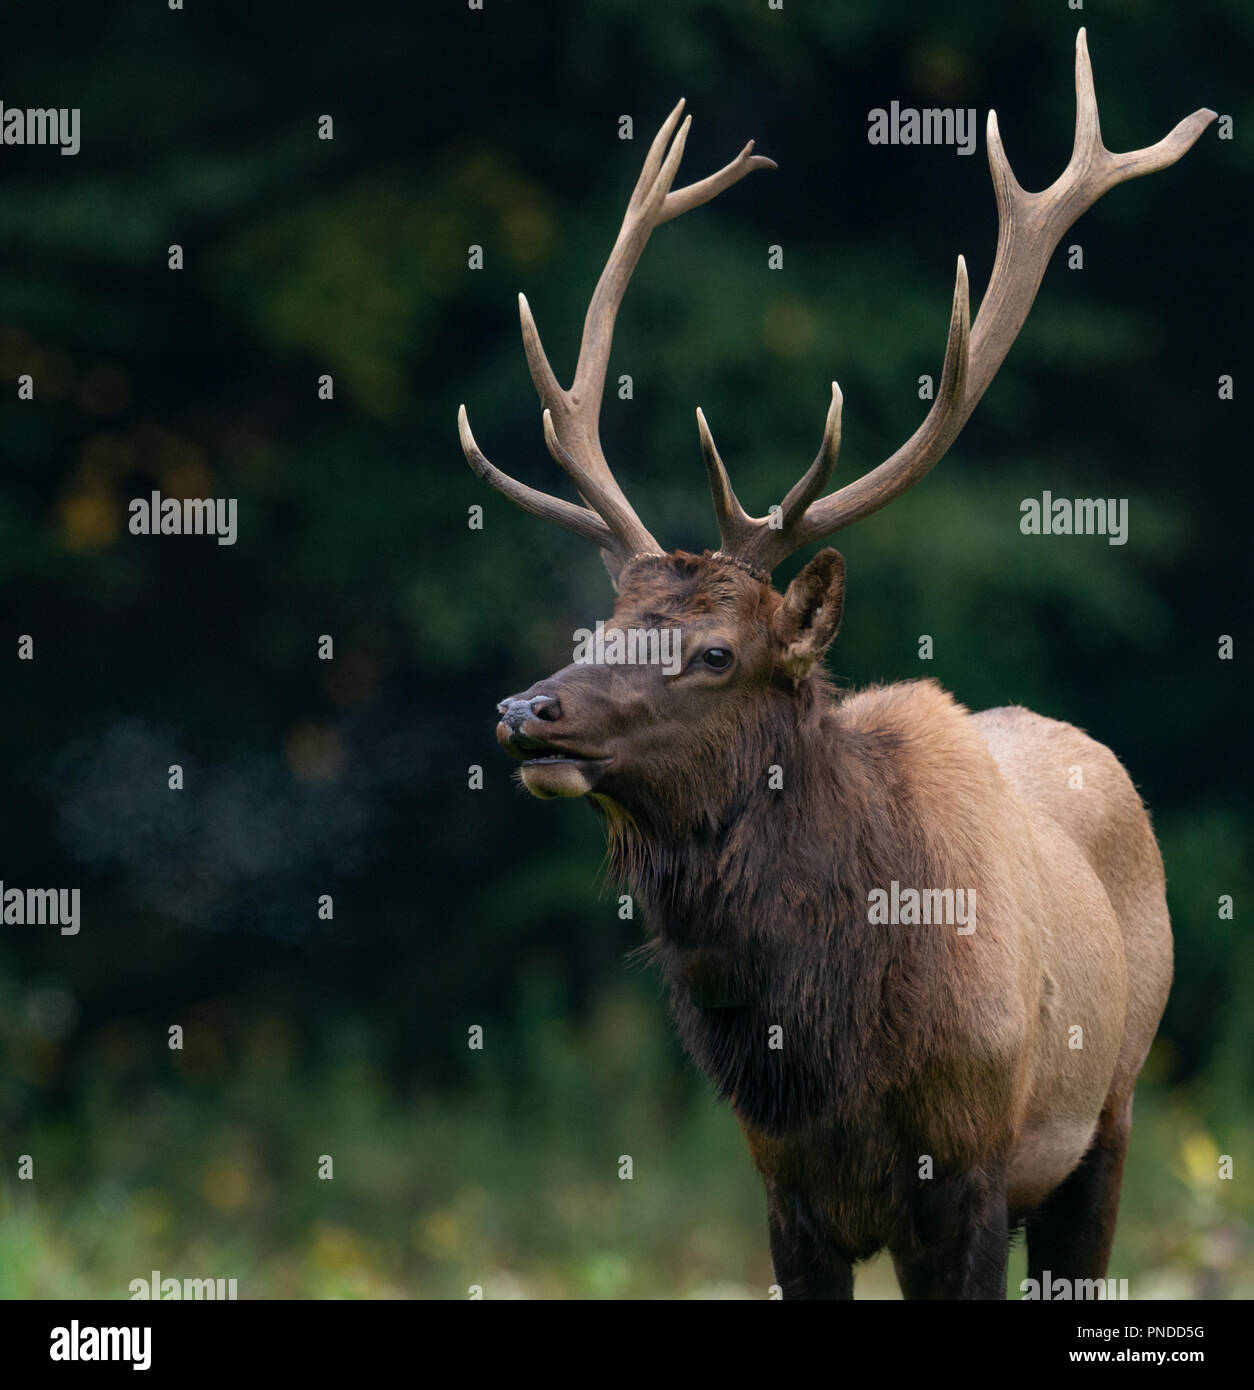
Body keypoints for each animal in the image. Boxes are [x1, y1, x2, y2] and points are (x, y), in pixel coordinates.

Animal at [458, 31, 1213, 1299]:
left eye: (715, 652)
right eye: (601, 632)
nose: (526, 708)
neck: (826, 1050)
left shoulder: (970, 1170)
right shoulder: (786, 1190)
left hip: (1107, 1113)